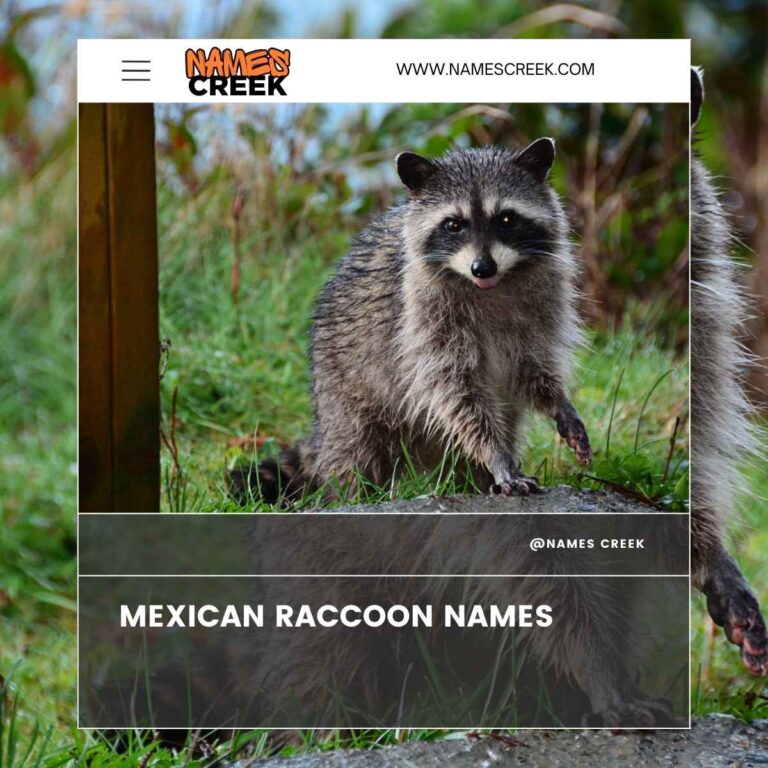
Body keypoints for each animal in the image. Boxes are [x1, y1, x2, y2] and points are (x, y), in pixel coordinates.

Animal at [230, 139, 591, 504]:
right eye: (453, 224)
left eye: (506, 218)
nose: (482, 268)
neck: (491, 287)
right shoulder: (422, 319)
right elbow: (455, 392)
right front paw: (496, 455)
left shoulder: (542, 306)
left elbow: (530, 367)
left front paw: (558, 402)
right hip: (345, 392)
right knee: (354, 453)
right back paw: (349, 494)